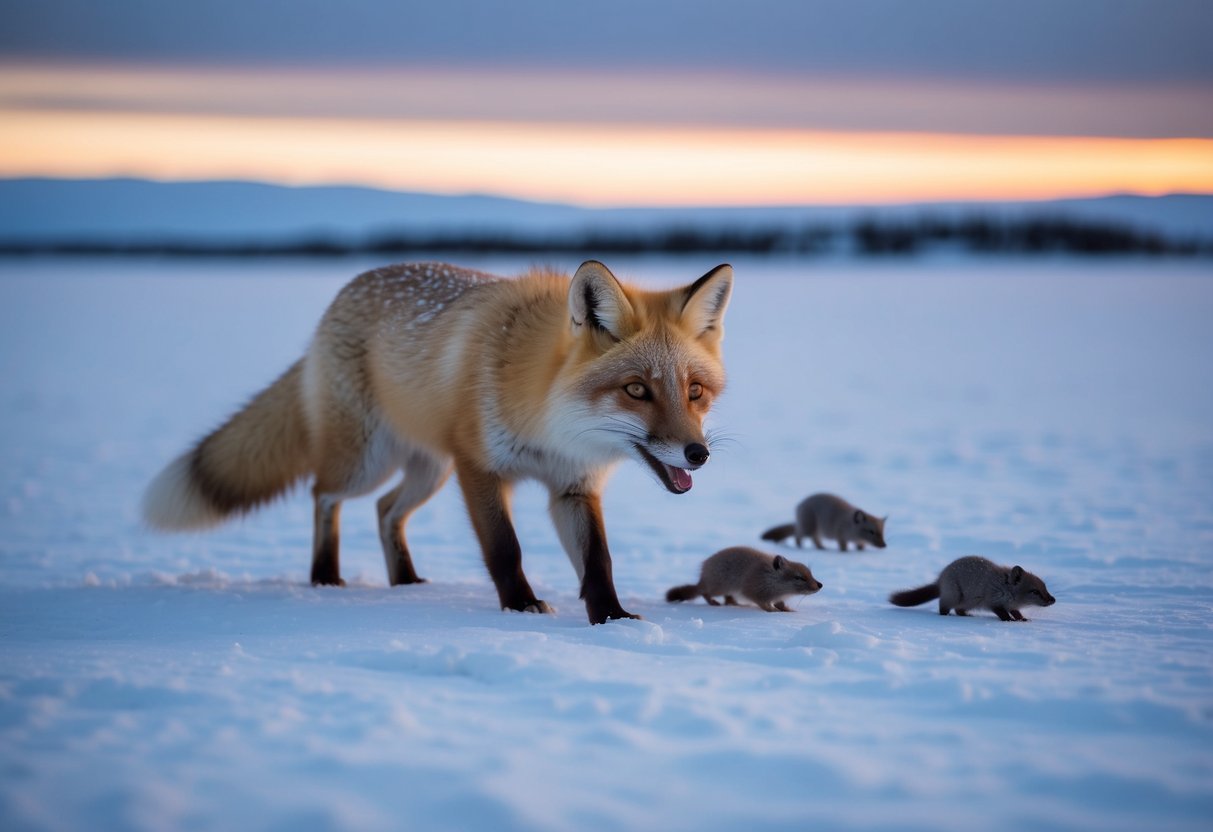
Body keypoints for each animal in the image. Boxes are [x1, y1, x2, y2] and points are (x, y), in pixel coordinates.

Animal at [142, 260, 733, 624]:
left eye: (694, 391)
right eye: (636, 390)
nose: (698, 454)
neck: (548, 422)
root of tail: (343, 294)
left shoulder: (572, 486)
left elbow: (599, 562)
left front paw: (612, 618)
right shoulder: (478, 467)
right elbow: (505, 548)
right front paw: (520, 607)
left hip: (428, 471)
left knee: (385, 511)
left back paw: (405, 582)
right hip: (369, 461)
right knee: (323, 495)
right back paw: (326, 577)